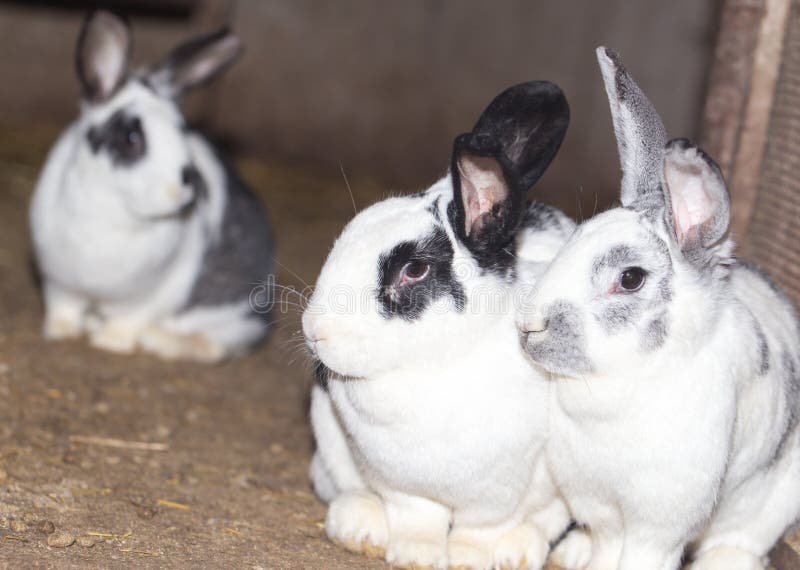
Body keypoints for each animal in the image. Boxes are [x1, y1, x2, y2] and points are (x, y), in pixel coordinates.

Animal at [29, 11, 274, 363]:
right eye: (132, 138)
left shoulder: (150, 298)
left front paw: (110, 343)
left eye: (181, 131)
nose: (187, 187)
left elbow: (128, 321)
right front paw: (59, 333)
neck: (110, 209)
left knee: (211, 346)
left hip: (229, 318)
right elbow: (63, 309)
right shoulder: (59, 283)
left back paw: (156, 339)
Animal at [303, 80, 582, 570]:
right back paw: (359, 527)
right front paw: (414, 557)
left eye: (414, 270)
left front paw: (469, 560)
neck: (432, 368)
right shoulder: (402, 486)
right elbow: (419, 519)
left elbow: (480, 531)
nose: (313, 331)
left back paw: (520, 552)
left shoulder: (499, 495)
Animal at [516, 47, 800, 570]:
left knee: (743, 540)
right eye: (577, 235)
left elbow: (642, 555)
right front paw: (591, 560)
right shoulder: (598, 502)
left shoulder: (662, 520)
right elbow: (606, 543)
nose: (529, 327)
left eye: (630, 278)